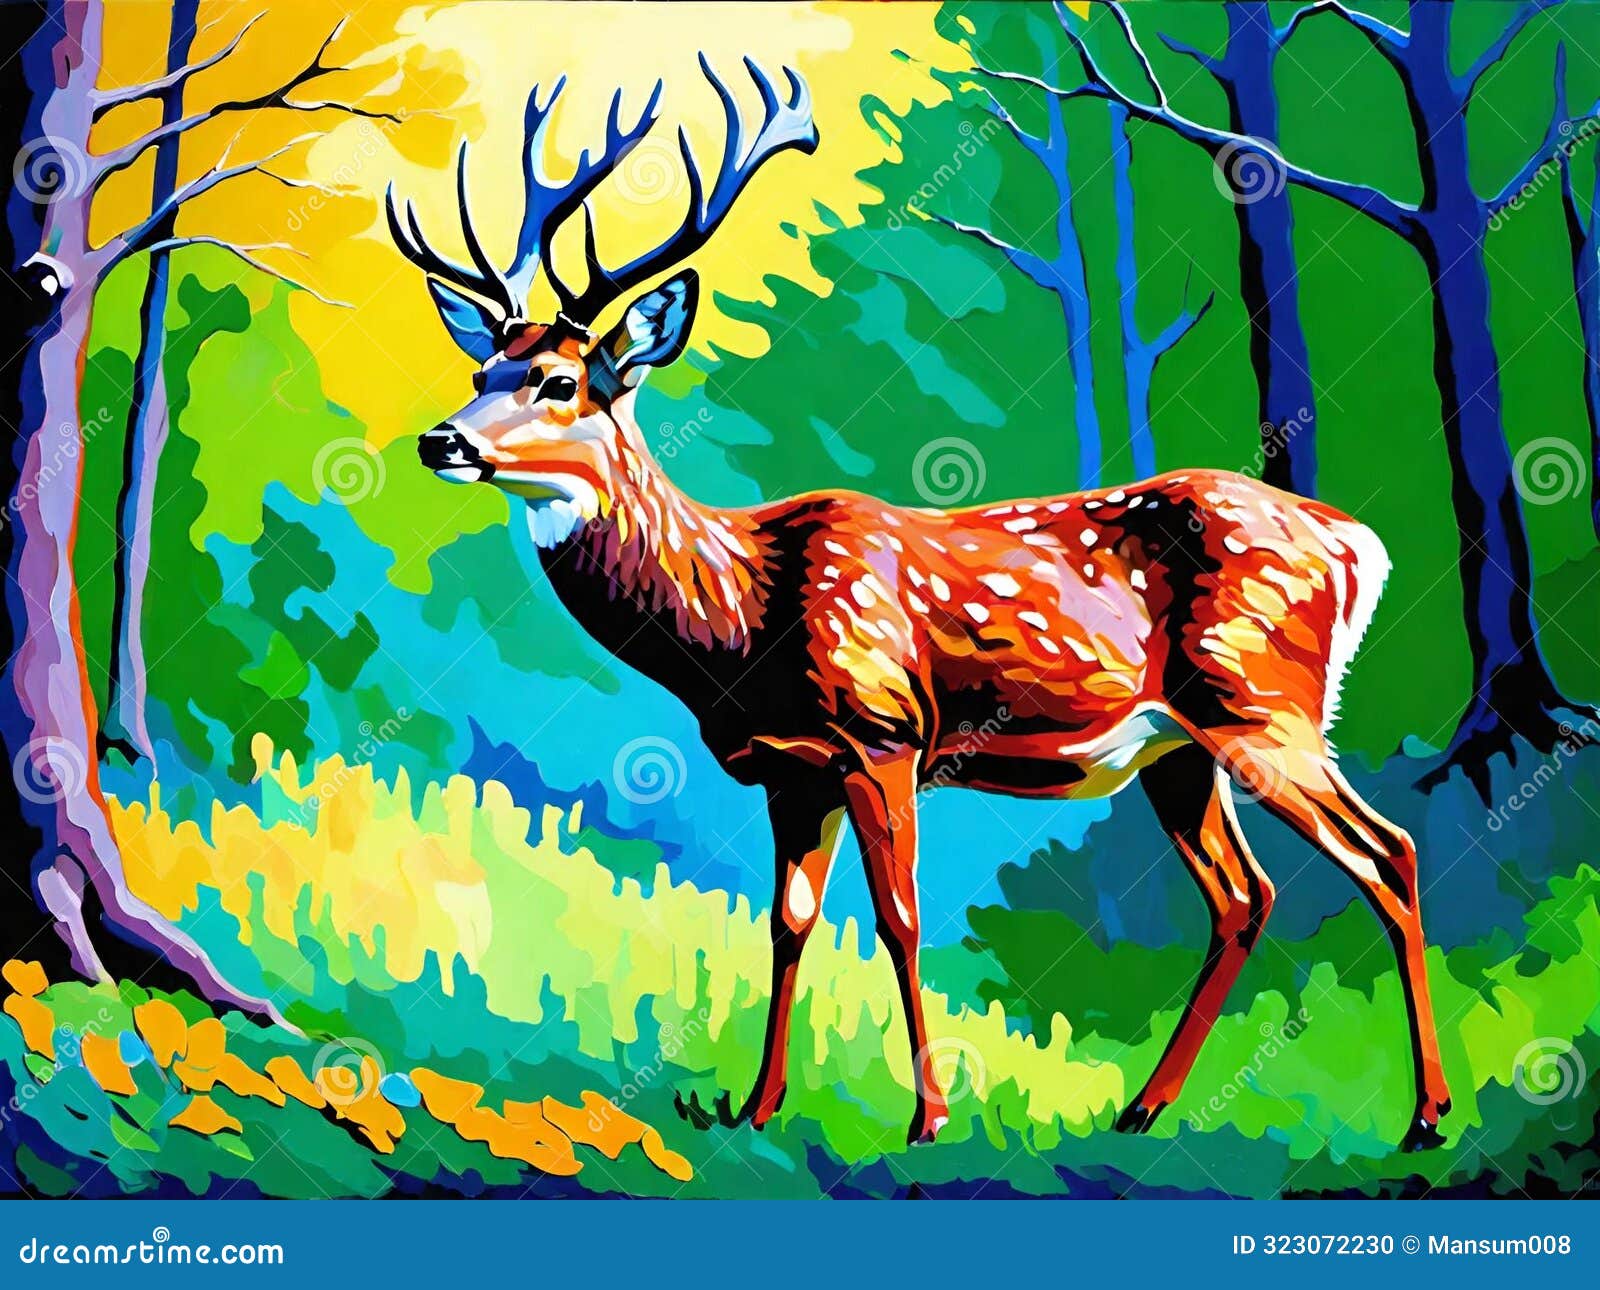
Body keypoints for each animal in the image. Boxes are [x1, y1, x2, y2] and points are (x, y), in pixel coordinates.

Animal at [389, 59, 1451, 1152]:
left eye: (561, 381)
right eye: (481, 368)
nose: (441, 440)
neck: (738, 624)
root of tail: (1359, 546)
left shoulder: (883, 732)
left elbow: (898, 918)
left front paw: (928, 1119)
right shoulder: (791, 773)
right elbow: (788, 923)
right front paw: (756, 1107)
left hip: (1260, 700)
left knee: (1388, 851)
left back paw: (1424, 1116)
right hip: (1179, 748)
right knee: (1246, 894)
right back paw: (1144, 1109)